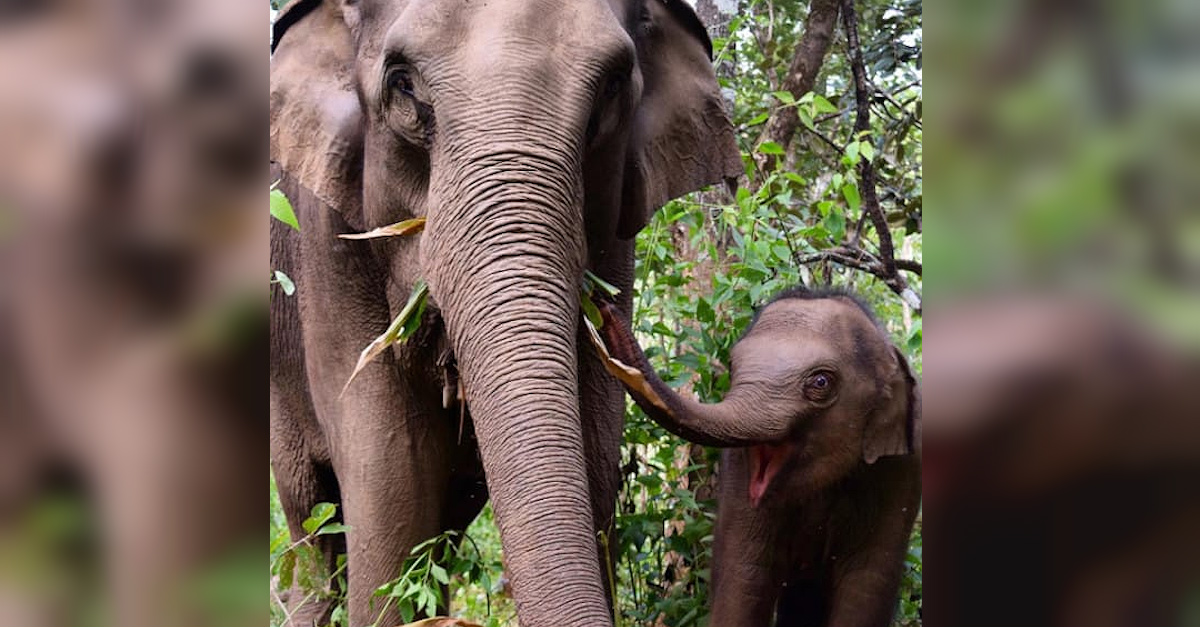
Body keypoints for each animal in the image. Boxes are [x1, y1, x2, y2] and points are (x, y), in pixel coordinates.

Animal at [268, 0, 741, 625]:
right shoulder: (324, 242)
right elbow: (391, 470)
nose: (613, 324)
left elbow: (595, 449)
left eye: (613, 87)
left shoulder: (613, 243)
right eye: (403, 85)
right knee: (313, 526)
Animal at [593, 287, 921, 627]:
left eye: (821, 382)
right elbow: (745, 577)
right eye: (732, 367)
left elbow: (865, 586)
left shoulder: (902, 470)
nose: (603, 304)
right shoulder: (739, 468)